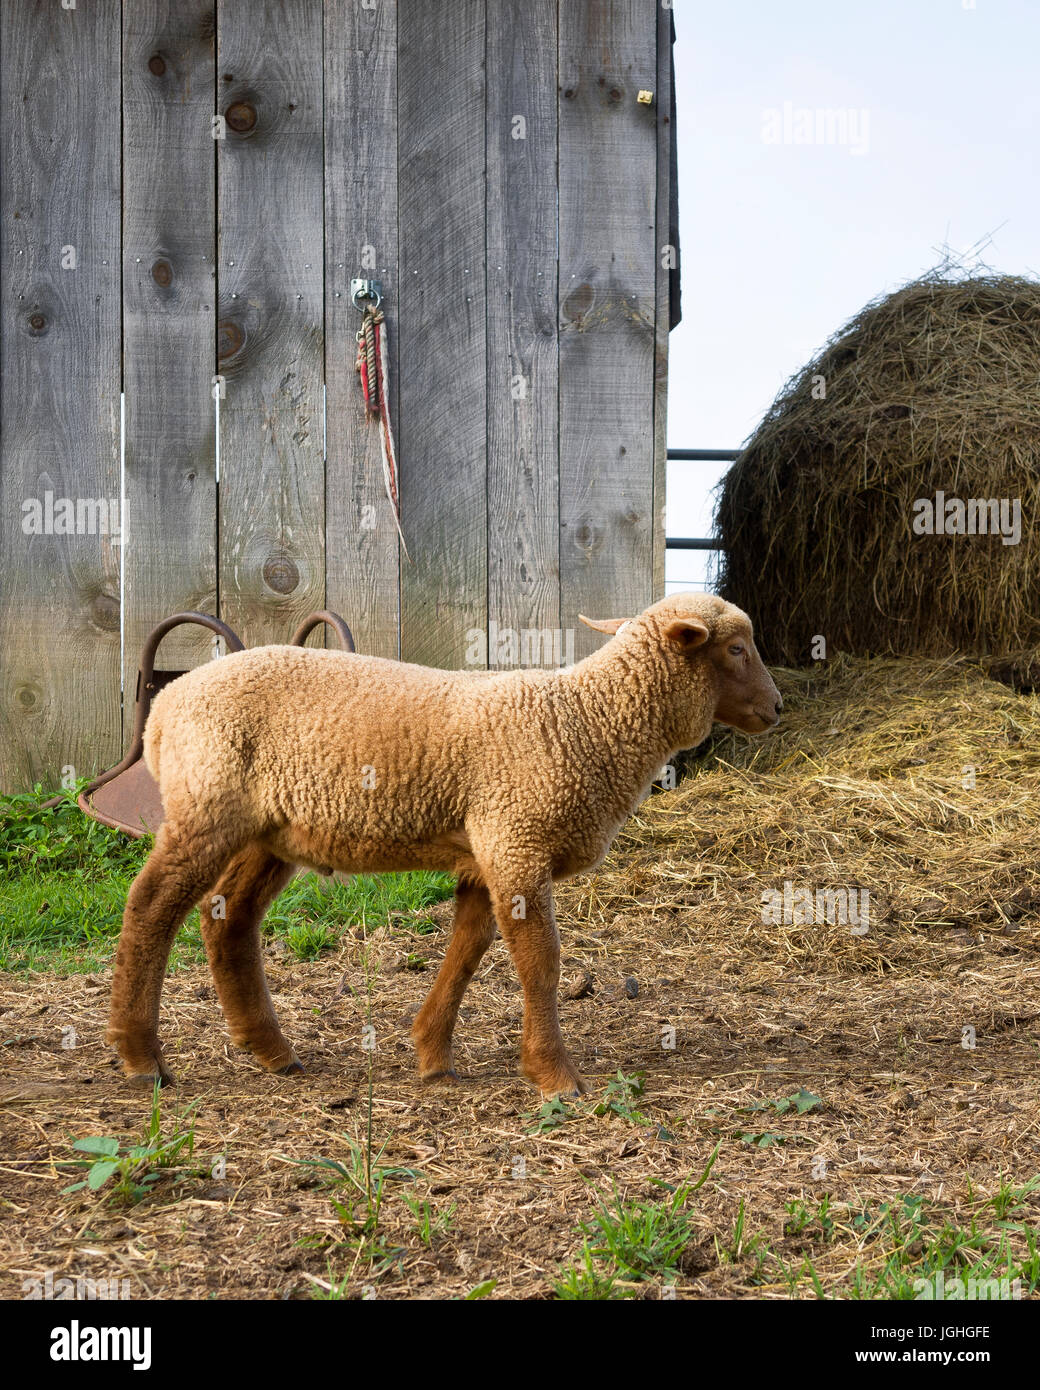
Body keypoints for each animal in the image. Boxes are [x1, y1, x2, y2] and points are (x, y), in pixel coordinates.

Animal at [106, 592, 781, 1096]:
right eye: (736, 648)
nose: (776, 707)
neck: (586, 721)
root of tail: (164, 707)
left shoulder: (489, 850)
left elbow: (468, 949)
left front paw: (432, 1054)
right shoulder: (516, 839)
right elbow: (540, 961)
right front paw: (555, 1076)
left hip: (268, 830)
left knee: (231, 919)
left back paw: (273, 1051)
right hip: (206, 807)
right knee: (151, 905)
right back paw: (142, 1059)